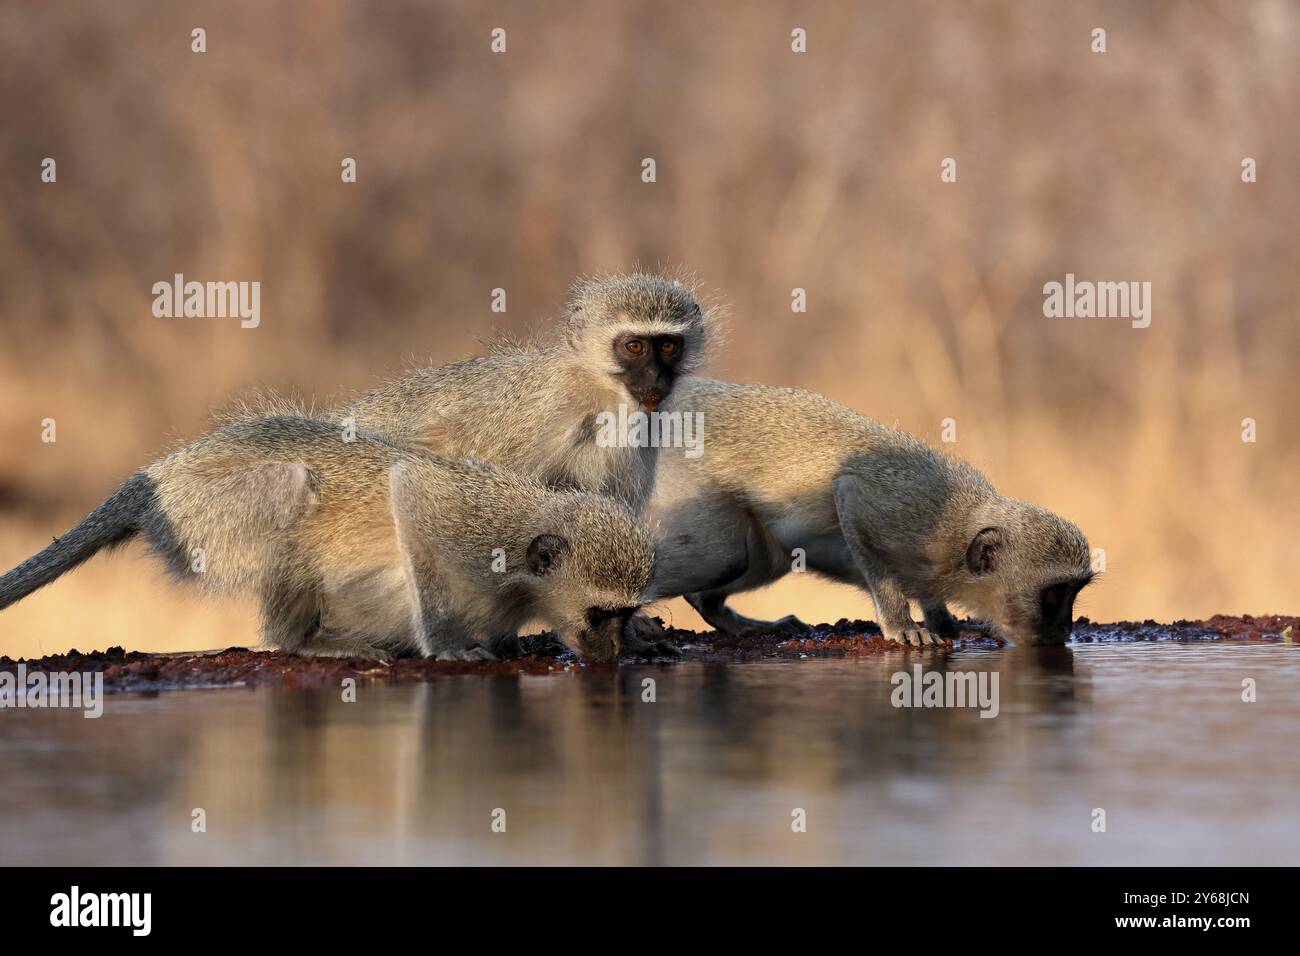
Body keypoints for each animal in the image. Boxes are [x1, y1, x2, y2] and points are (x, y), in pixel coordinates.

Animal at [0, 417, 655, 663]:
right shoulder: (468, 530)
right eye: (601, 614)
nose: (610, 653)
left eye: (622, 615)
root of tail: (165, 473)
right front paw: (447, 647)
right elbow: (409, 495)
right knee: (289, 492)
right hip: (203, 516)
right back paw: (306, 644)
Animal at [331, 272, 717, 656]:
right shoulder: (534, 423)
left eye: (667, 346)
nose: (655, 377)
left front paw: (631, 629)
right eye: (634, 346)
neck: (599, 393)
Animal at [644, 379, 1095, 647]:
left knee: (760, 559)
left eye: (1073, 592)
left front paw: (943, 621)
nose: (1064, 630)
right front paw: (902, 625)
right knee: (723, 556)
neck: (955, 541)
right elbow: (849, 494)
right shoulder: (899, 511)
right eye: (1055, 595)